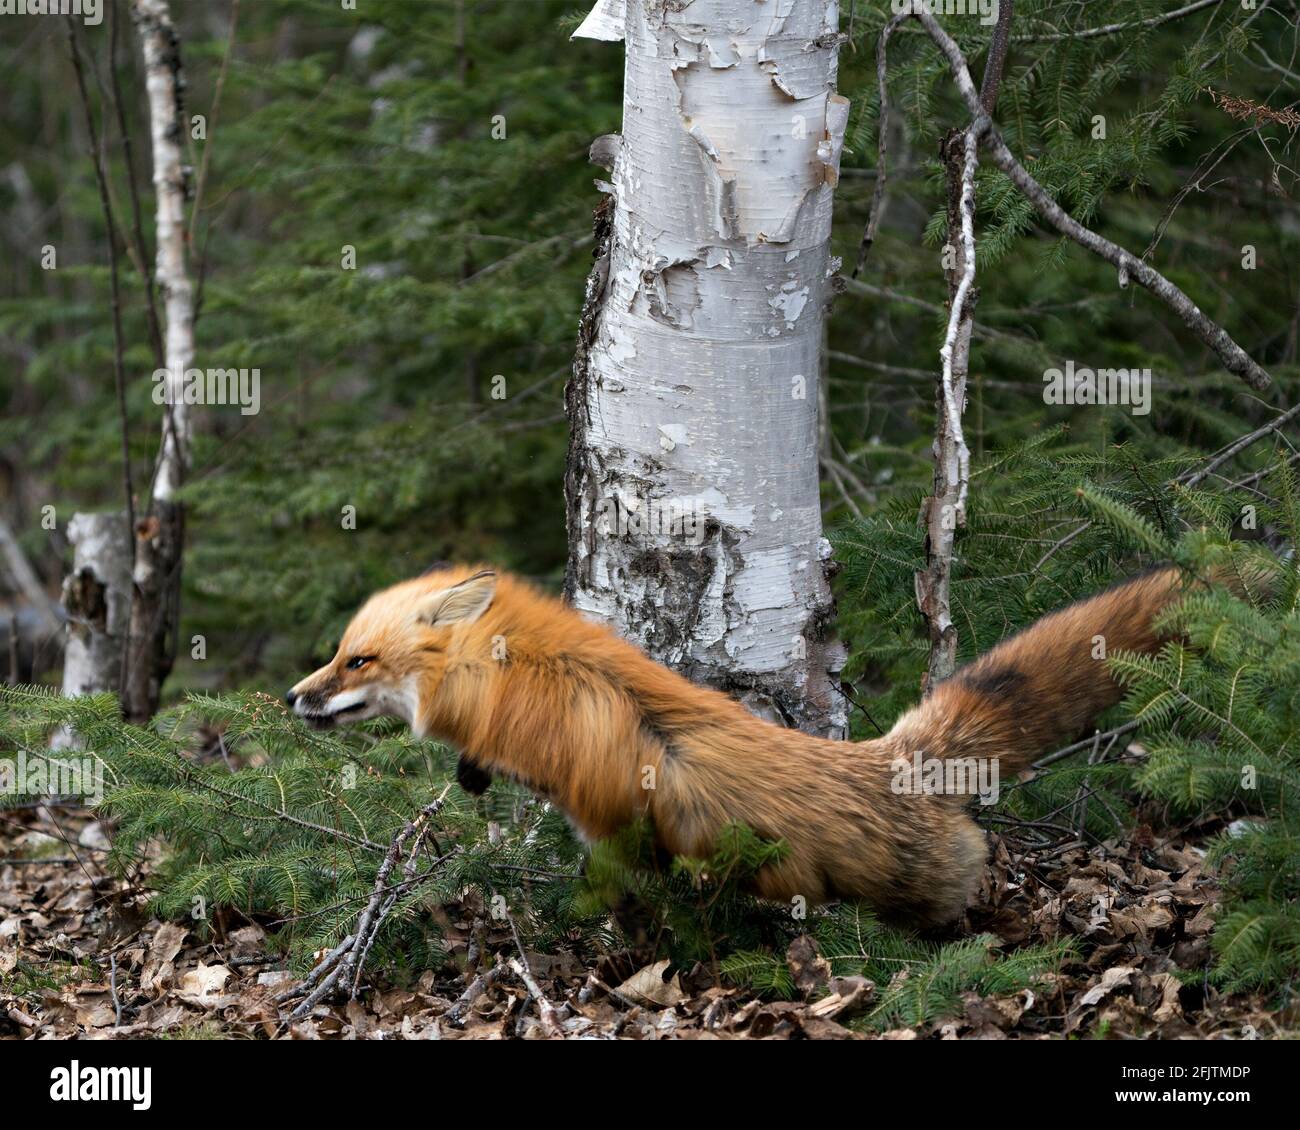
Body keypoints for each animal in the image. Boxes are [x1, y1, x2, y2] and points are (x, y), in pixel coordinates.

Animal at [286, 563, 1186, 927]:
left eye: (356, 660)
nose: (294, 698)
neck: (520, 675)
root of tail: (889, 760)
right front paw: (472, 776)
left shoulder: (603, 809)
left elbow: (611, 875)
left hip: (915, 889)